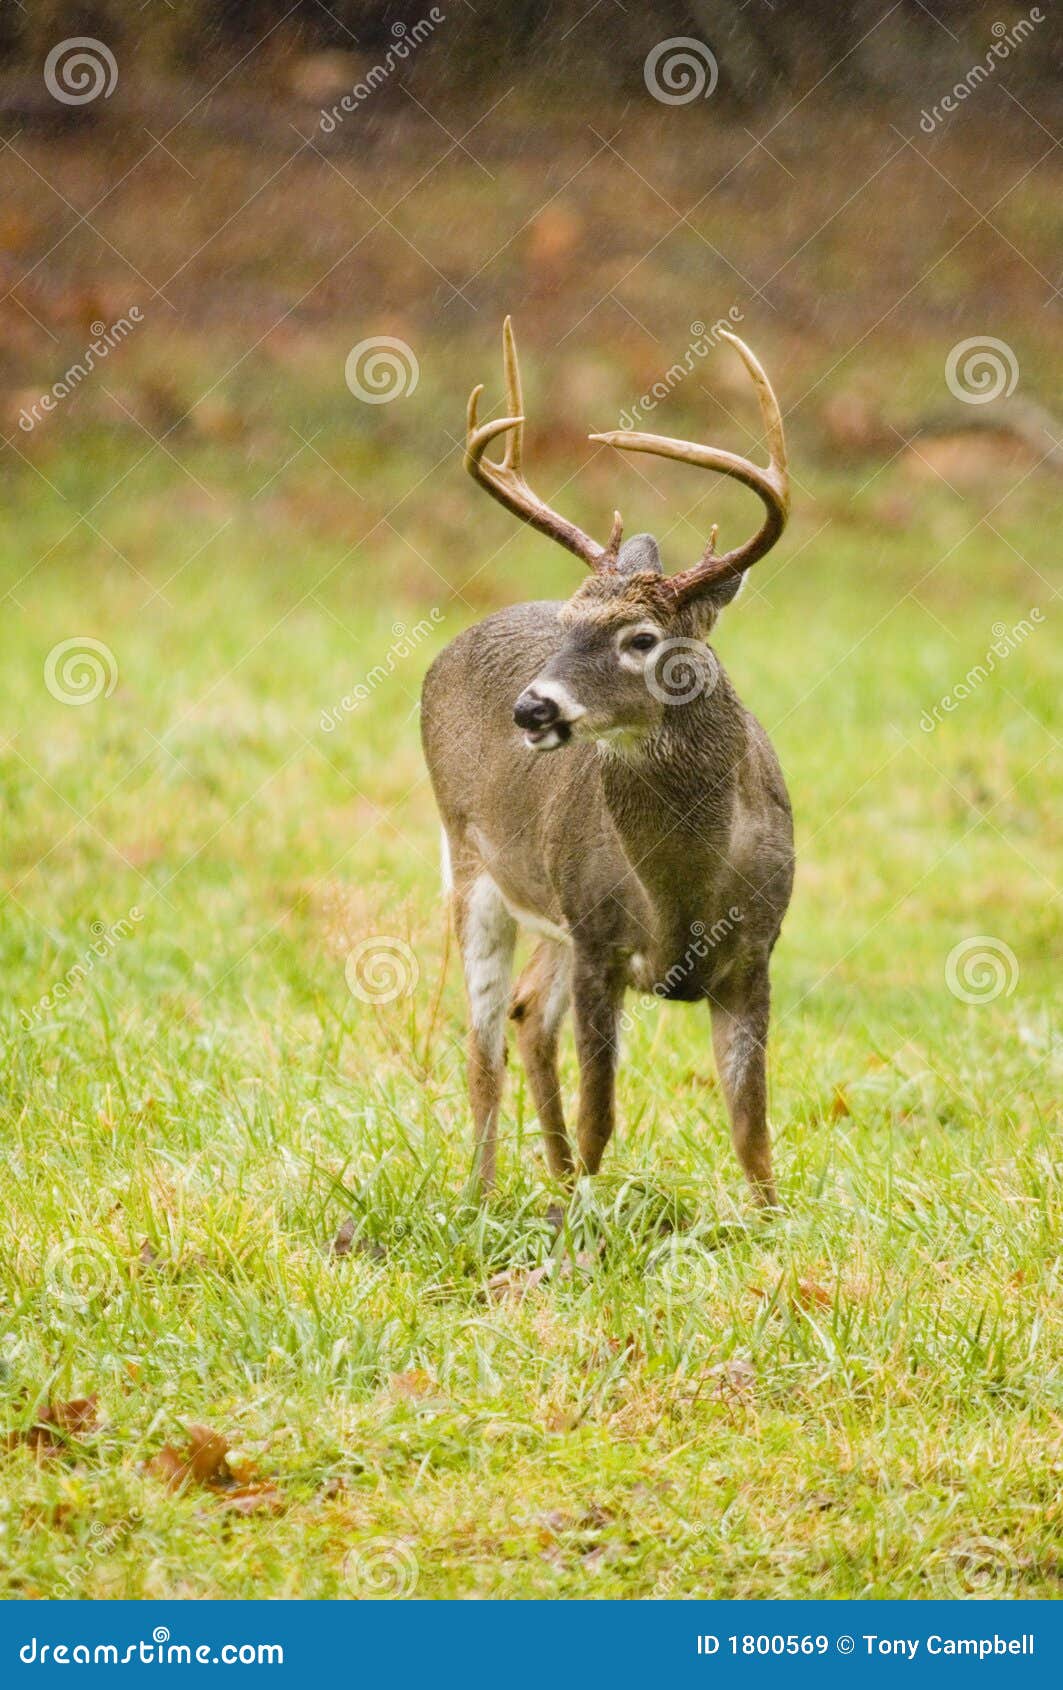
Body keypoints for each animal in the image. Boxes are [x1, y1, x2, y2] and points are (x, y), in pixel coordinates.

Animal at [421, 319, 793, 1208]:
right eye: (566, 622)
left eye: (642, 639)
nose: (531, 708)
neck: (683, 889)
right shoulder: (596, 937)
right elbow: (601, 1118)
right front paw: (588, 1219)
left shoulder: (757, 949)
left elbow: (752, 1131)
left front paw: (775, 1226)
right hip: (470, 865)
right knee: (481, 1044)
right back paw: (482, 1197)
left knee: (527, 1014)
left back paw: (547, 1182)